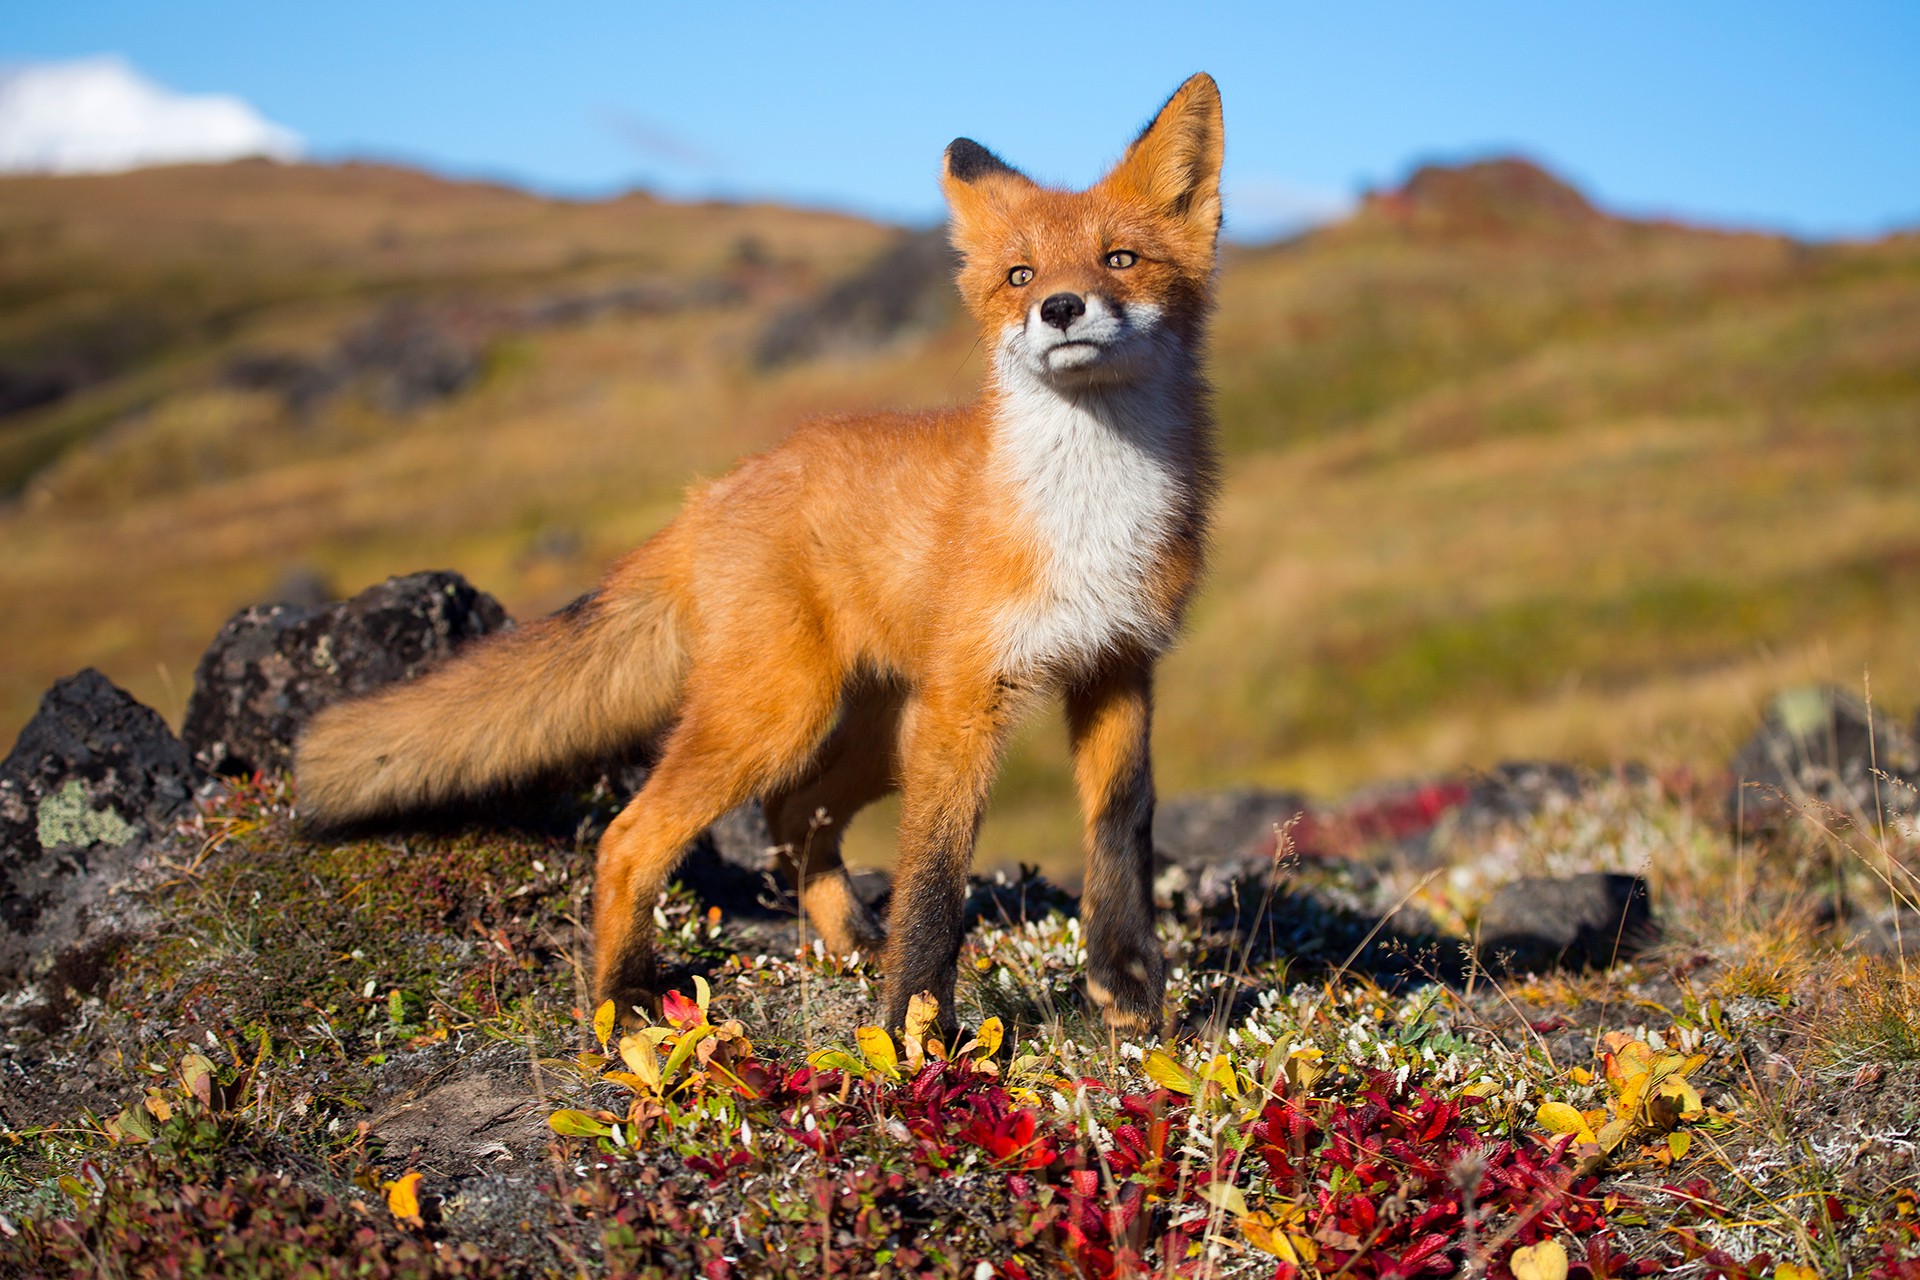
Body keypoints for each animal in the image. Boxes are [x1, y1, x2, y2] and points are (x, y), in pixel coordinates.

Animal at [294, 73, 1224, 1038]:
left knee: (790, 815)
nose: (1061, 308)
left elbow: (1120, 834)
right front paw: (913, 1034)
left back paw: (849, 943)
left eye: (1120, 259)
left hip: (870, 731)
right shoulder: (968, 702)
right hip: (788, 714)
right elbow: (936, 880)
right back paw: (623, 1000)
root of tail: (707, 496)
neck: (1088, 522)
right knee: (630, 837)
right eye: (1020, 276)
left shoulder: (1117, 667)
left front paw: (1128, 992)